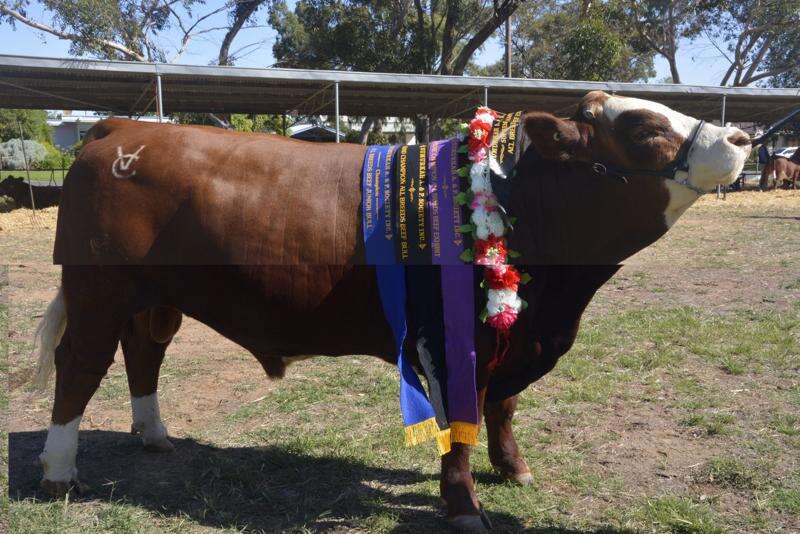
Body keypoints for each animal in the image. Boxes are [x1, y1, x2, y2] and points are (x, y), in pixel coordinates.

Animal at [31, 90, 751, 531]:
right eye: (644, 128)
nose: (742, 135)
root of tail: (124, 130)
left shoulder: (510, 335)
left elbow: (504, 407)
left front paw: (512, 468)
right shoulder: (455, 340)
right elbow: (462, 420)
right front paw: (464, 505)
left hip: (154, 300)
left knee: (143, 354)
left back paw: (154, 435)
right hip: (98, 291)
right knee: (80, 367)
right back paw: (60, 473)